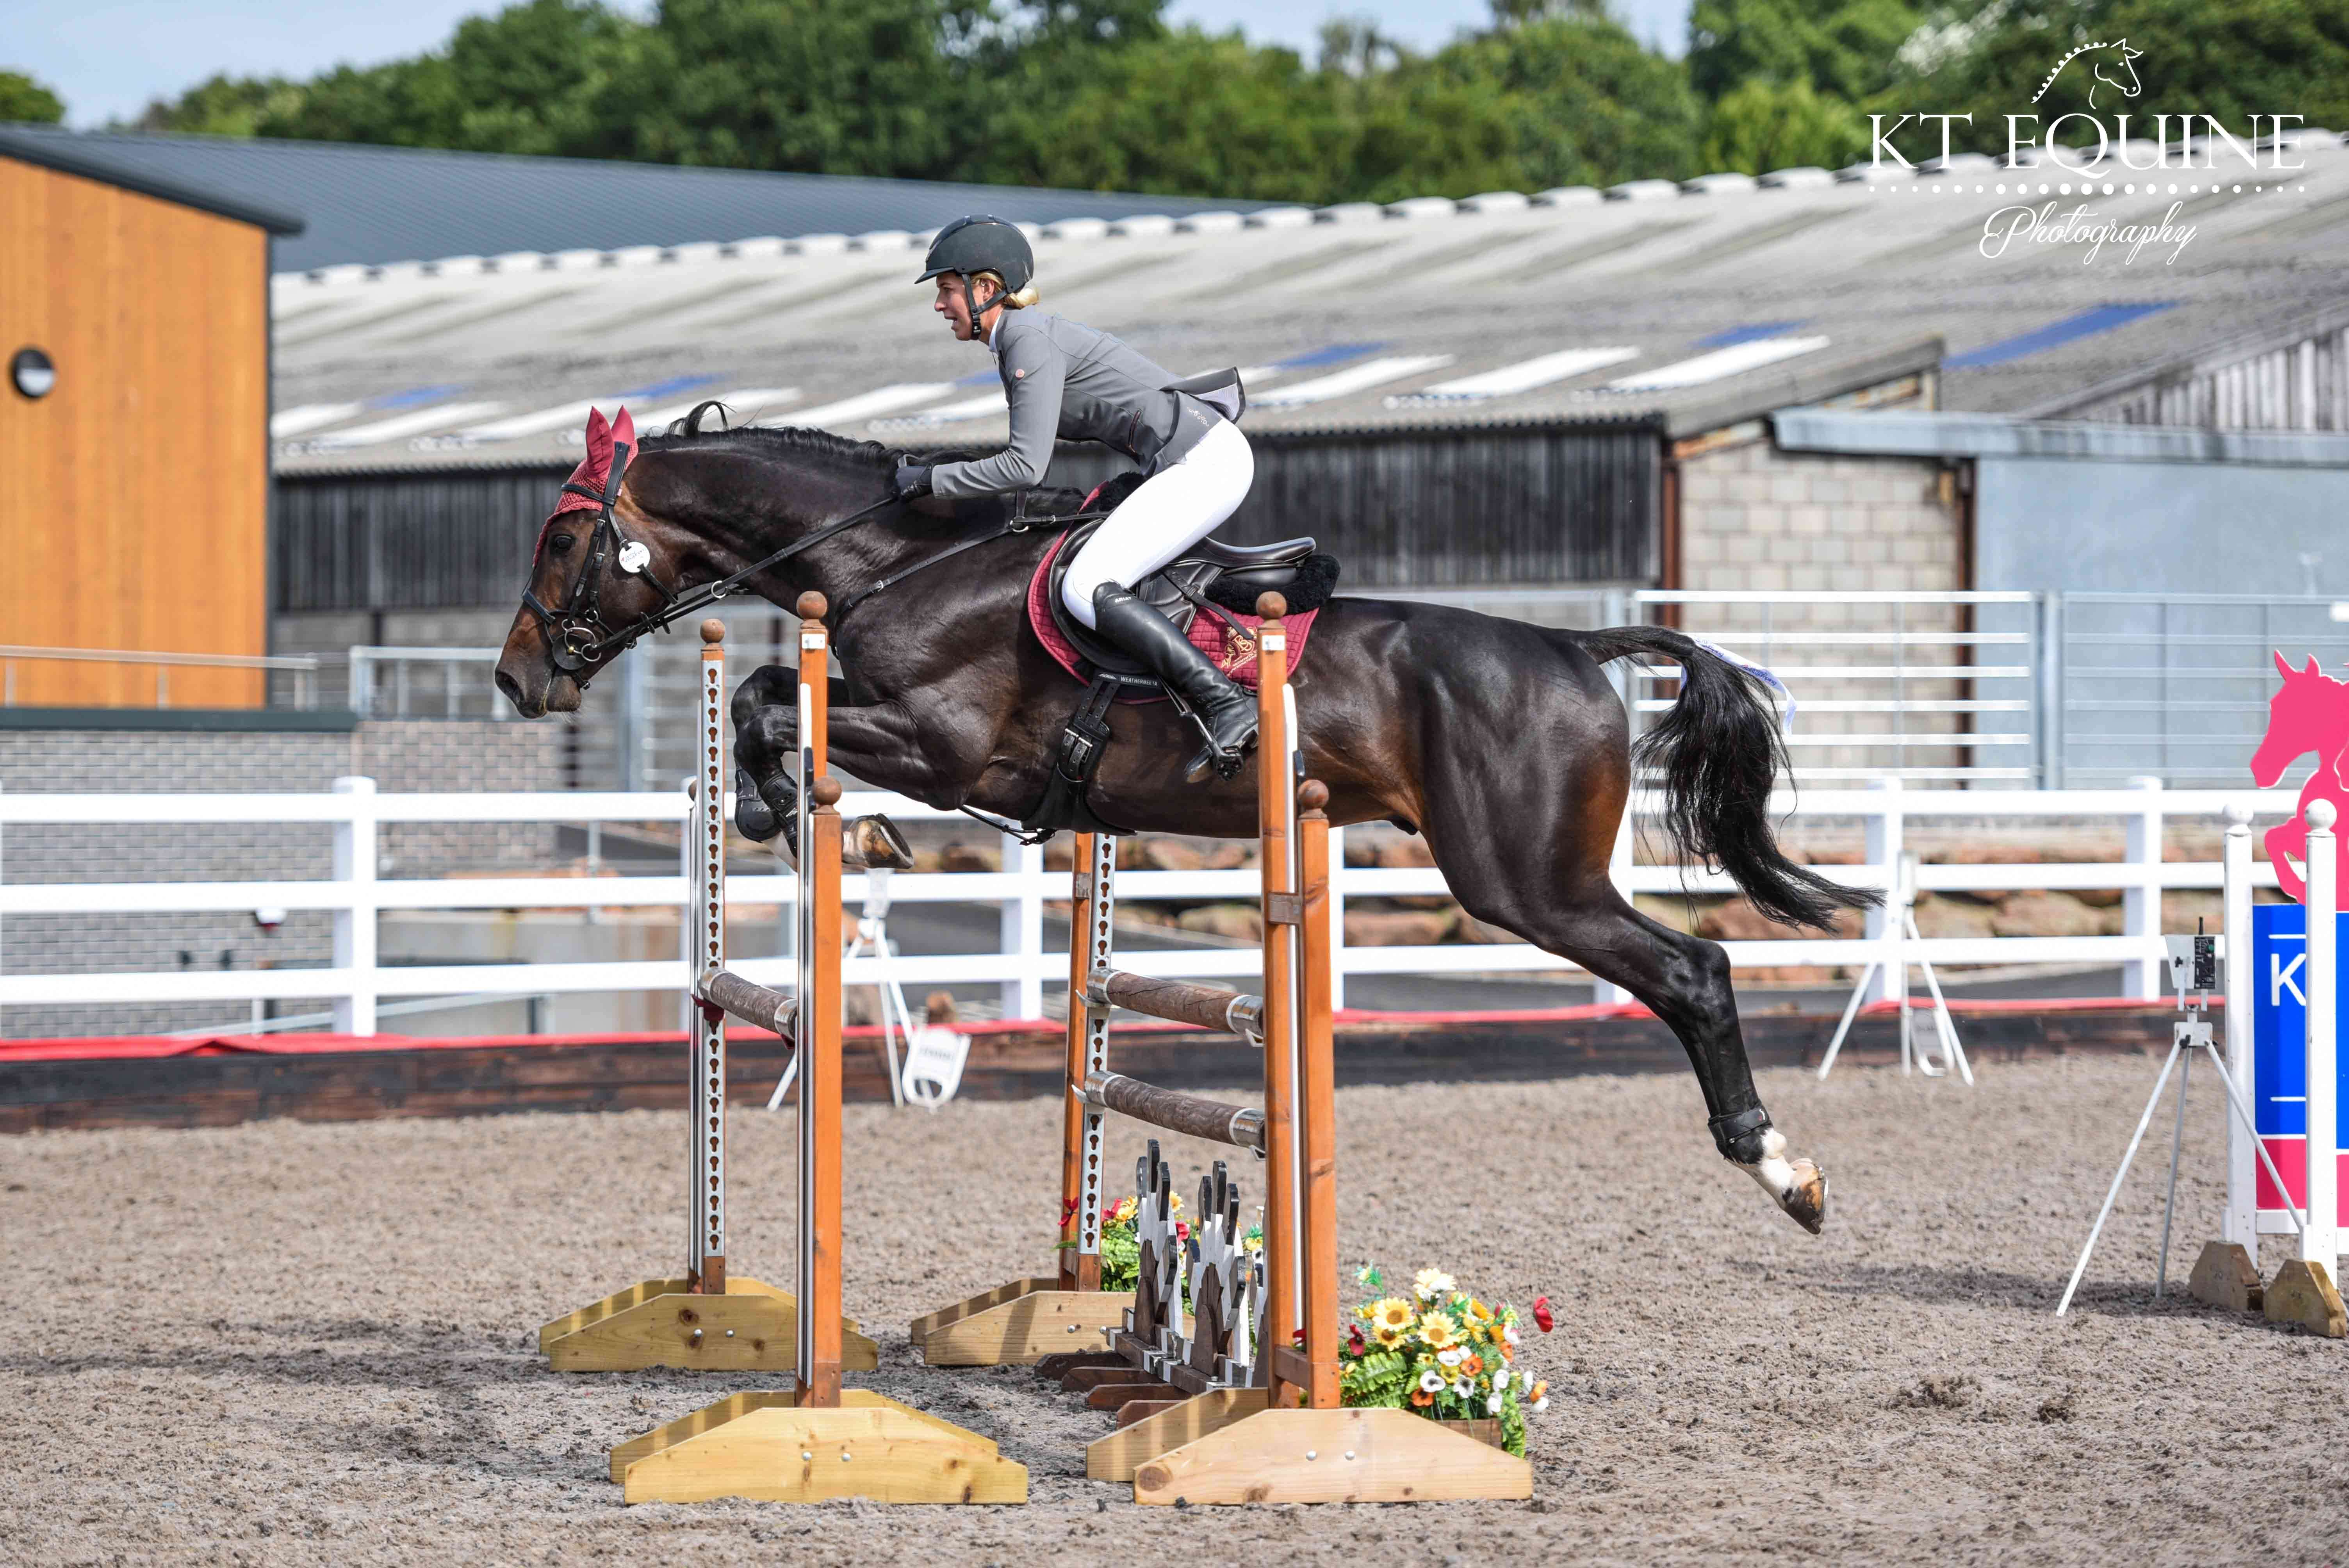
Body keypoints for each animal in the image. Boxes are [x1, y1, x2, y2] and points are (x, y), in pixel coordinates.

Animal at [495, 406, 1877, 1234]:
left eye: (561, 535)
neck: (897, 560)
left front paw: (800, 810)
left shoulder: (949, 752)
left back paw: (1784, 1170)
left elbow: (772, 705)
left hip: (1524, 881)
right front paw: (794, 812)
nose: (517, 682)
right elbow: (767, 696)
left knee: (1693, 972)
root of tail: (1569, 647)